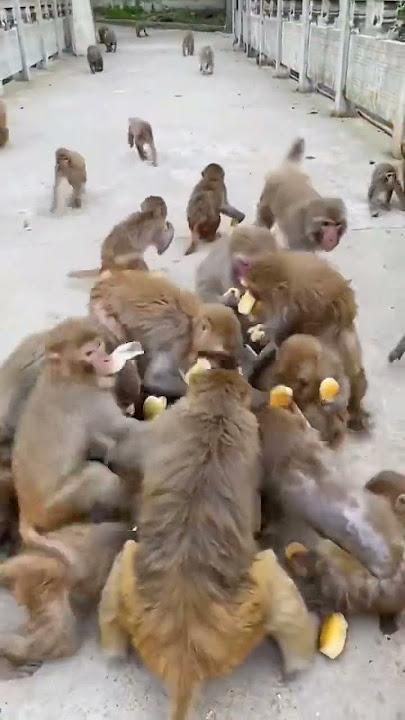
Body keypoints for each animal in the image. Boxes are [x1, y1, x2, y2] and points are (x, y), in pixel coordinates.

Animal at [12, 317, 146, 556]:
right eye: (89, 353)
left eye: (99, 345)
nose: (106, 359)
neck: (69, 375)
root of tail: (25, 511)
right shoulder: (89, 401)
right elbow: (124, 430)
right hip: (54, 509)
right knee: (96, 476)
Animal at [89, 269, 250, 399]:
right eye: (221, 355)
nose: (233, 365)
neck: (192, 325)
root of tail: (101, 285)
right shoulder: (180, 343)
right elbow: (155, 377)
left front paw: (229, 299)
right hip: (103, 316)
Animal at [99, 367, 317, 720]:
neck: (216, 410)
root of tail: (184, 656)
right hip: (250, 606)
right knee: (272, 573)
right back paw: (301, 656)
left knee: (126, 557)